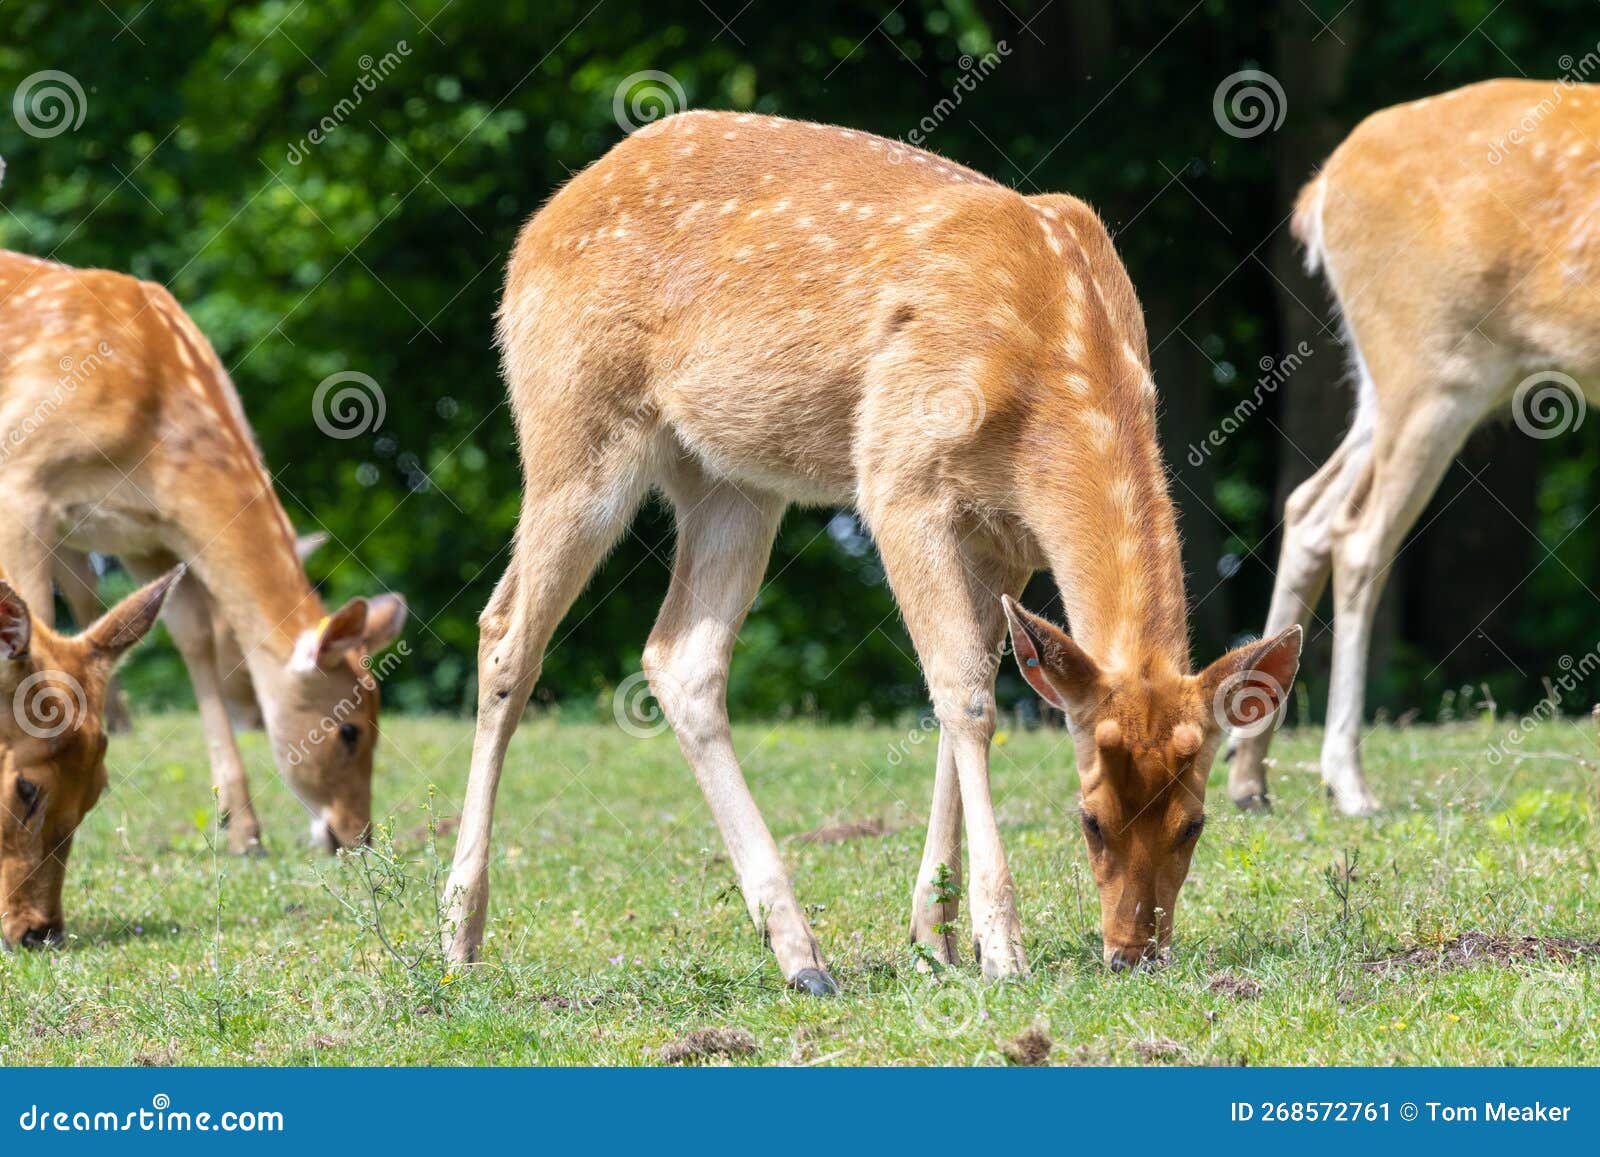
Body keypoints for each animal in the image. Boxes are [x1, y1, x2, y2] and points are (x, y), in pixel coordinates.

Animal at [0, 250, 407, 855]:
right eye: (350, 729)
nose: (356, 835)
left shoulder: (150, 540)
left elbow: (190, 642)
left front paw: (242, 830)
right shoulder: (23, 480)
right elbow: (39, 614)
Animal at [440, 110, 1301, 990]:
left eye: (1194, 822)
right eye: (1088, 818)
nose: (1134, 952)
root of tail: (533, 235)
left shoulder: (1006, 540)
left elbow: (968, 691)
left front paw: (937, 935)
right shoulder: (898, 476)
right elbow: (964, 693)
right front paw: (1000, 945)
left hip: (731, 480)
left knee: (679, 656)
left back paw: (799, 952)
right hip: (573, 422)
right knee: (506, 634)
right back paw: (460, 931)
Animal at [1229, 78, 1600, 816]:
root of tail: (1320, 191)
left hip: (1385, 380)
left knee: (1308, 506)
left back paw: (1249, 778)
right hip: (1431, 363)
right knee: (1360, 537)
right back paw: (1347, 781)